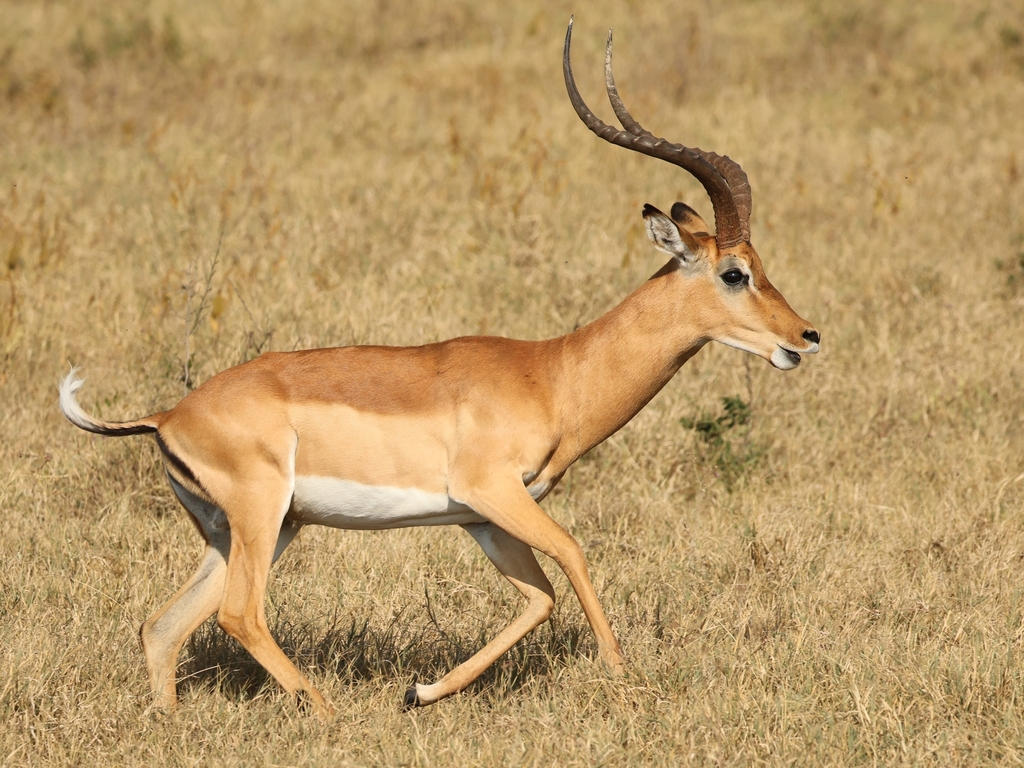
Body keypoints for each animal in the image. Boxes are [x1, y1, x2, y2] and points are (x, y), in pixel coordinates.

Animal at [59, 19, 819, 715]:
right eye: (733, 272)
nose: (806, 337)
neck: (553, 374)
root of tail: (168, 415)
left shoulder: (481, 518)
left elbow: (538, 598)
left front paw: (420, 691)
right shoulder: (494, 491)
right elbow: (575, 555)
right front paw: (626, 681)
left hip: (252, 529)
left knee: (163, 626)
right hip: (262, 517)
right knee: (237, 614)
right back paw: (328, 713)